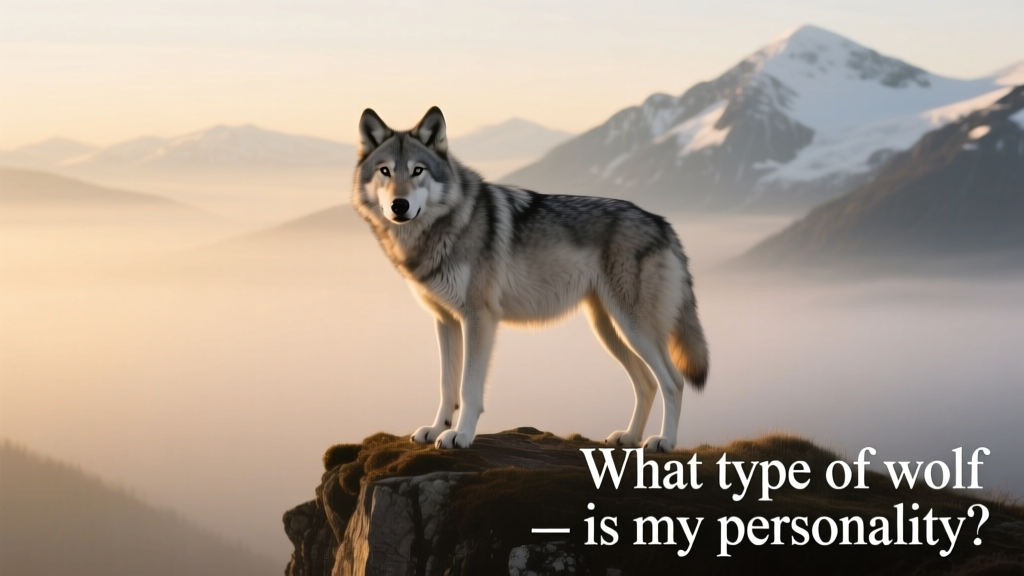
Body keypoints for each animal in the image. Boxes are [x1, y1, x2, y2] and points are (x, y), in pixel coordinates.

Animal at [351, 107, 708, 452]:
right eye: (385, 171)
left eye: (417, 171)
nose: (399, 205)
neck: (446, 226)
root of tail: (662, 222)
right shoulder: (445, 320)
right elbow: (446, 385)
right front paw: (436, 429)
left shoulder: (478, 318)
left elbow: (468, 389)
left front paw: (460, 436)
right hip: (609, 329)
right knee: (646, 383)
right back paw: (630, 437)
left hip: (634, 328)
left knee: (673, 382)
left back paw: (663, 442)